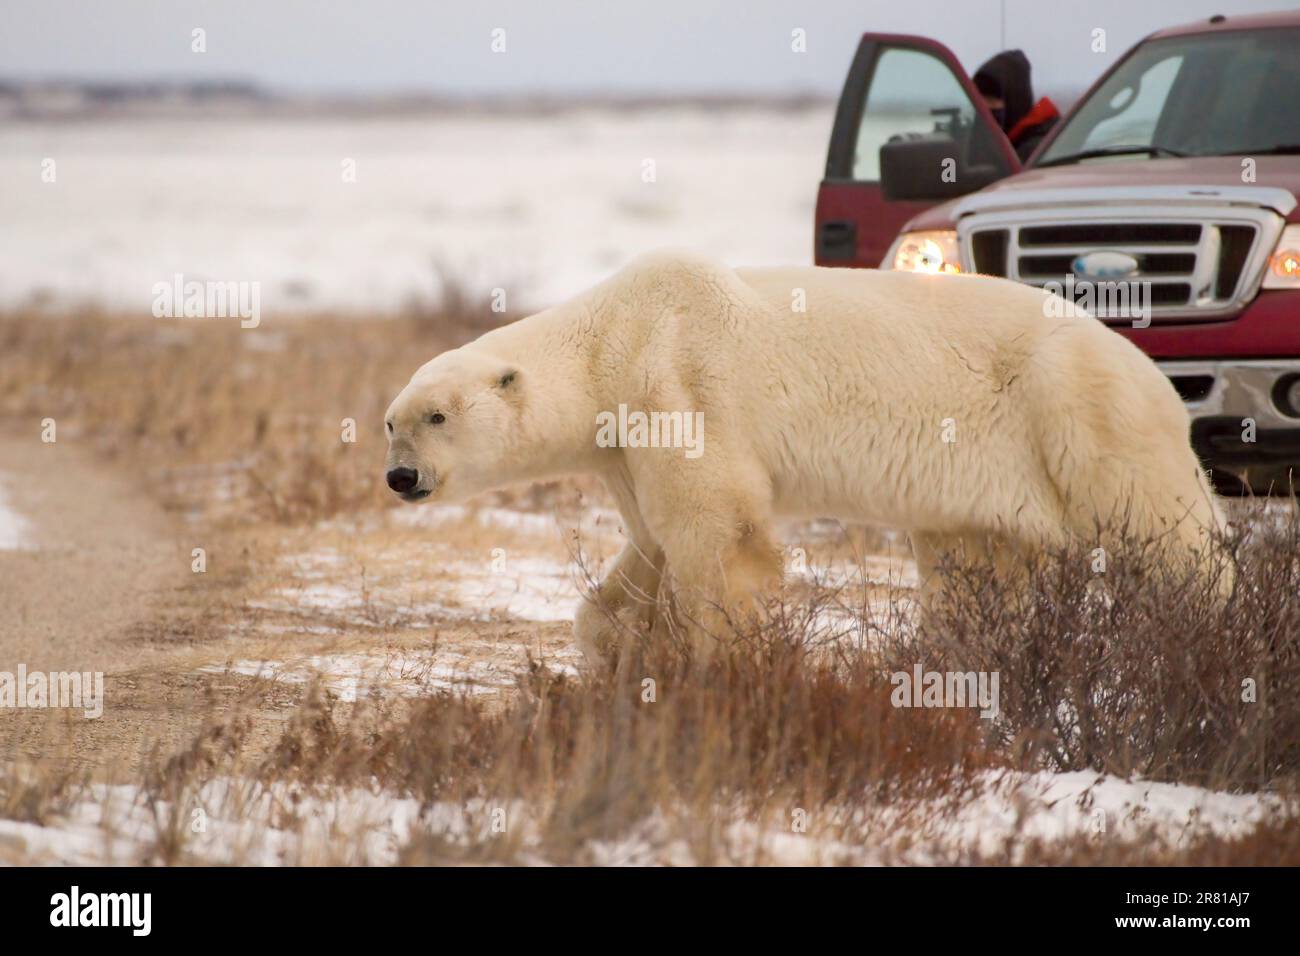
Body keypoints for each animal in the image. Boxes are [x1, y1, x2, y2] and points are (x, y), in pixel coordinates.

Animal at [384, 249, 1226, 663]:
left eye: (436, 415)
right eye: (390, 423)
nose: (401, 476)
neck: (614, 336)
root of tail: (1149, 370)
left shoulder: (678, 385)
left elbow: (720, 537)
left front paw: (720, 667)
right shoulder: (624, 442)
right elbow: (649, 545)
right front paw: (613, 652)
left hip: (1076, 410)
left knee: (1167, 531)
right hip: (990, 473)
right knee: (975, 562)